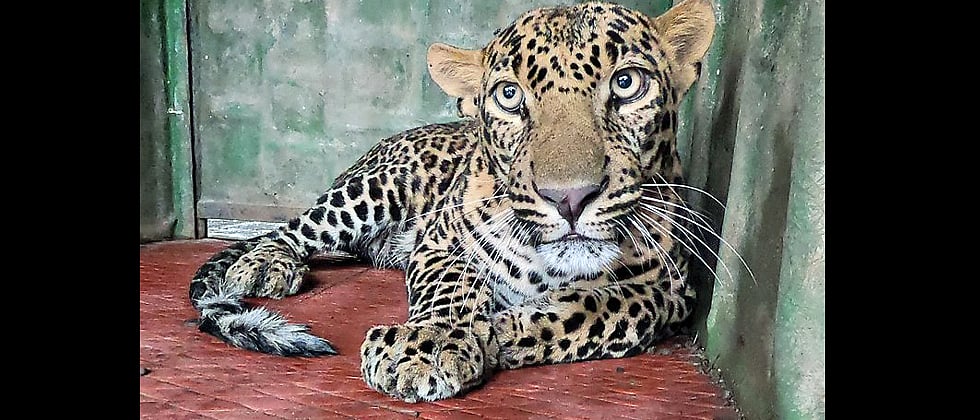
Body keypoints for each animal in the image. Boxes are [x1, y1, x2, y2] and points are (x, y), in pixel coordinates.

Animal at [188, 0, 716, 403]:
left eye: (627, 84)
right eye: (509, 96)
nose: (569, 198)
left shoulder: (669, 291)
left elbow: (590, 307)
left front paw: (493, 335)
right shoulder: (441, 243)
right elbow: (452, 287)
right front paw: (432, 341)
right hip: (376, 188)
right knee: (293, 229)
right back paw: (265, 264)